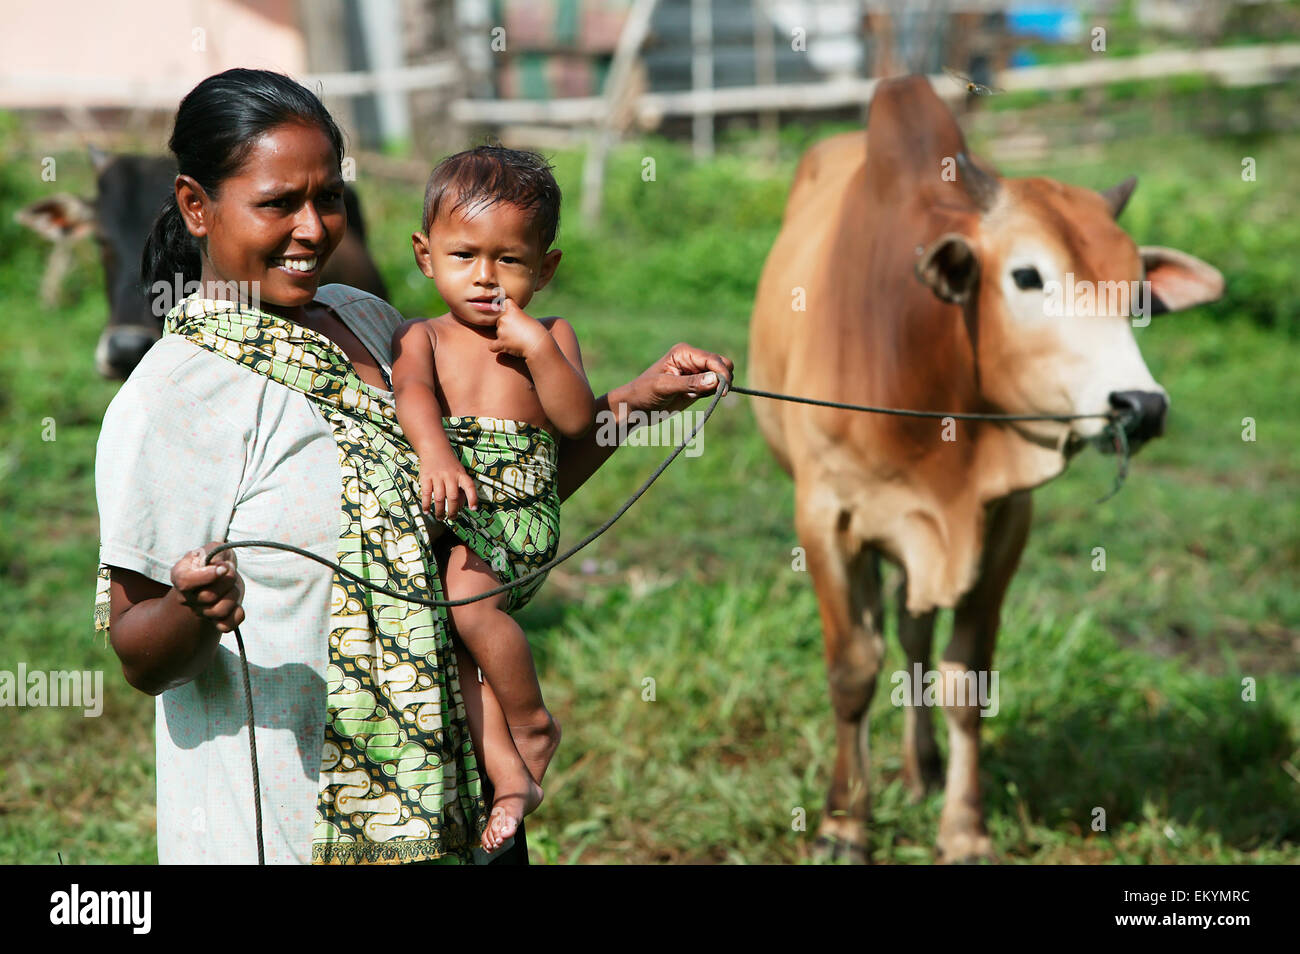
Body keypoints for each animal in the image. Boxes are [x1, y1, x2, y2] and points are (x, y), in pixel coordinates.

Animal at [748, 75, 1224, 863]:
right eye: (1027, 276)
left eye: (1138, 295)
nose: (1141, 405)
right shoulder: (825, 518)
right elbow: (852, 670)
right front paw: (845, 824)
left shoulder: (1000, 522)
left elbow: (966, 680)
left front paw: (964, 829)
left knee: (913, 637)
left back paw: (921, 771)